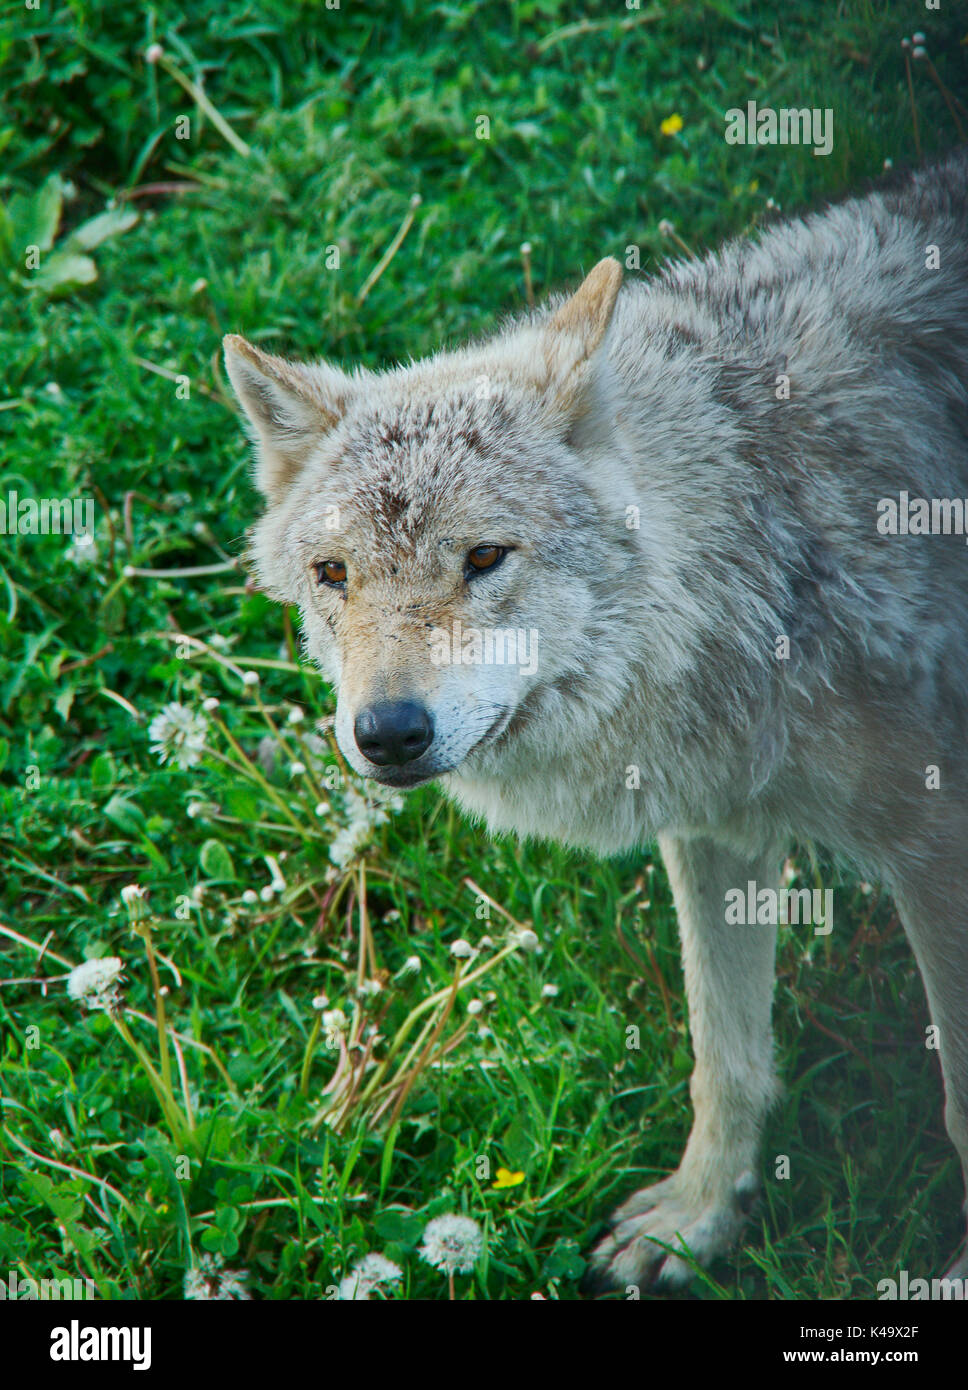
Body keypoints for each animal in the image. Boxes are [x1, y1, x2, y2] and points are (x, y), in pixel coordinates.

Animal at [224, 148, 968, 1293]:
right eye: (333, 574)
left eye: (485, 557)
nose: (385, 732)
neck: (768, 533)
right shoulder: (717, 825)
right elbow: (725, 1059)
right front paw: (699, 1220)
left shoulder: (936, 843)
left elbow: (958, 1105)